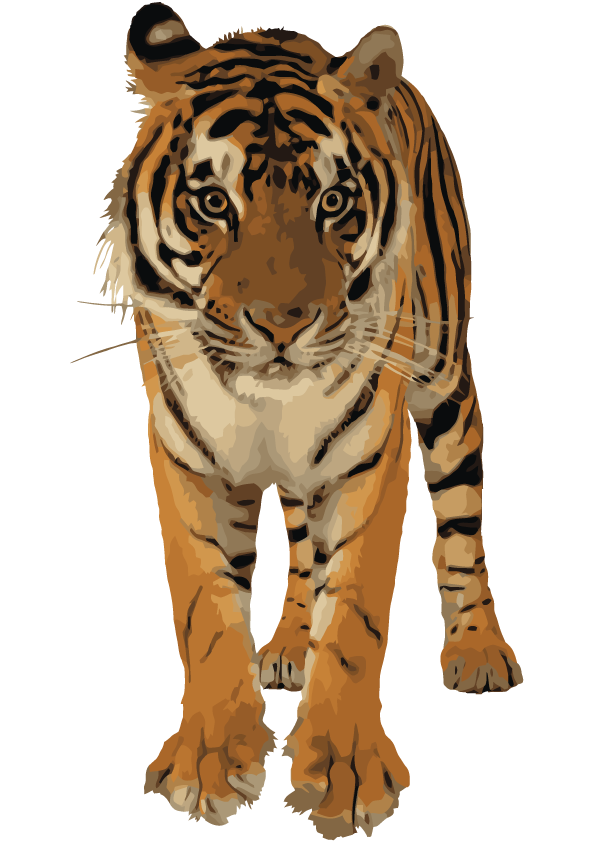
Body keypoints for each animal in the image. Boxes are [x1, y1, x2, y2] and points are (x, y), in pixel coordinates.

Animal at [93, 3, 524, 836]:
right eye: (213, 203)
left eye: (332, 202)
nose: (282, 323)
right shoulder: (186, 458)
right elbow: (206, 611)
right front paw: (206, 763)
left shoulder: (370, 454)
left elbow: (354, 614)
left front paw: (348, 778)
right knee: (296, 544)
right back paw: (290, 643)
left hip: (444, 387)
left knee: (460, 524)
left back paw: (479, 651)